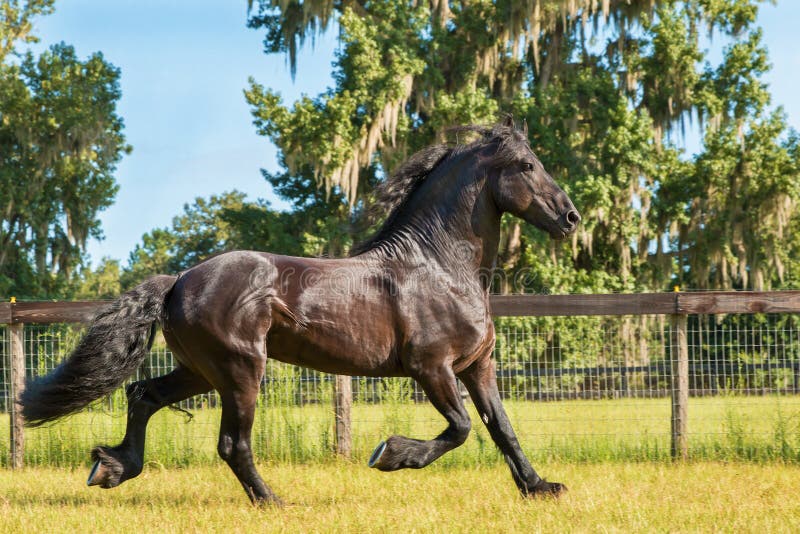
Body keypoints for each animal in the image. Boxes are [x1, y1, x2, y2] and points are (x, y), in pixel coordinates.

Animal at [19, 120, 580, 504]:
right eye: (527, 166)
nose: (570, 218)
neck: (438, 266)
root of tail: (178, 280)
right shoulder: (431, 367)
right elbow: (462, 427)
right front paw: (390, 455)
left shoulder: (476, 365)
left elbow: (502, 427)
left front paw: (540, 487)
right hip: (240, 370)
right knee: (232, 443)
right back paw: (272, 501)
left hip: (201, 370)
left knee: (143, 395)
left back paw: (111, 467)